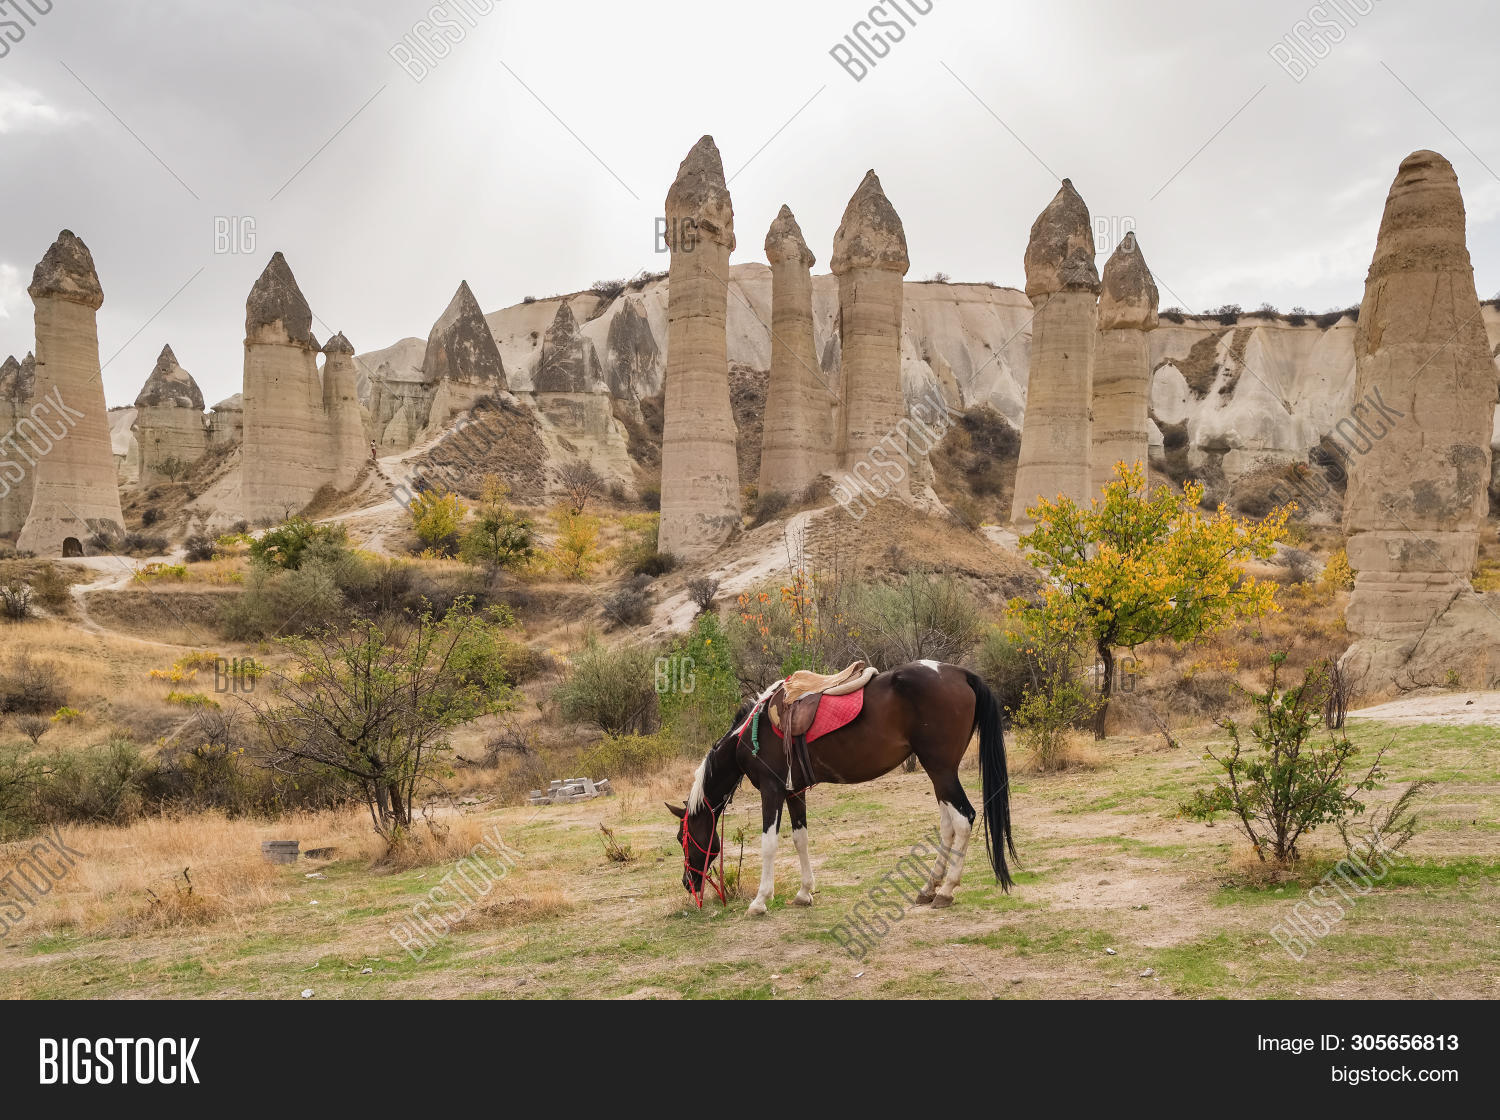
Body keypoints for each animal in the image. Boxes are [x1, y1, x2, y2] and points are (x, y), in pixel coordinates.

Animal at [668, 660, 1016, 914]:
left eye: (683, 838)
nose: (687, 883)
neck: (751, 732)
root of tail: (959, 673)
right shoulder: (794, 792)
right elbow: (801, 840)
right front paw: (804, 893)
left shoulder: (772, 790)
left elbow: (769, 844)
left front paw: (760, 901)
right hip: (939, 774)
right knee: (948, 825)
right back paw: (929, 887)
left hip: (941, 770)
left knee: (964, 819)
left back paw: (945, 890)